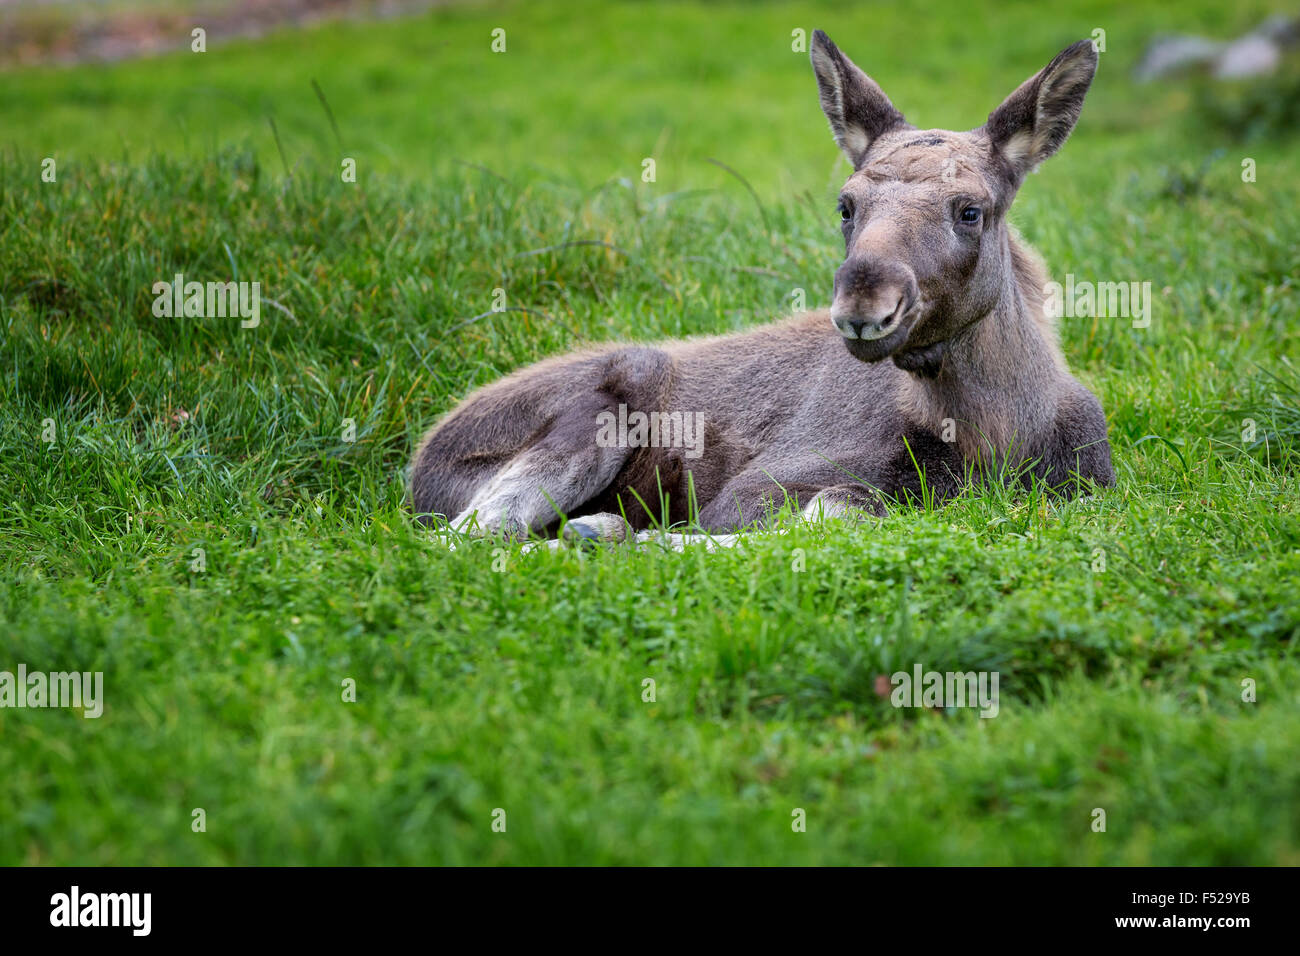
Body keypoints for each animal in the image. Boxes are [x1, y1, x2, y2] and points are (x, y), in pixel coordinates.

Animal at [409, 31, 1114, 545]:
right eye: (846, 204)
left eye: (971, 210)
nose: (865, 306)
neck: (996, 433)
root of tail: (415, 470)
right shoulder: (757, 488)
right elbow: (827, 516)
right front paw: (644, 540)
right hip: (593, 417)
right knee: (464, 535)